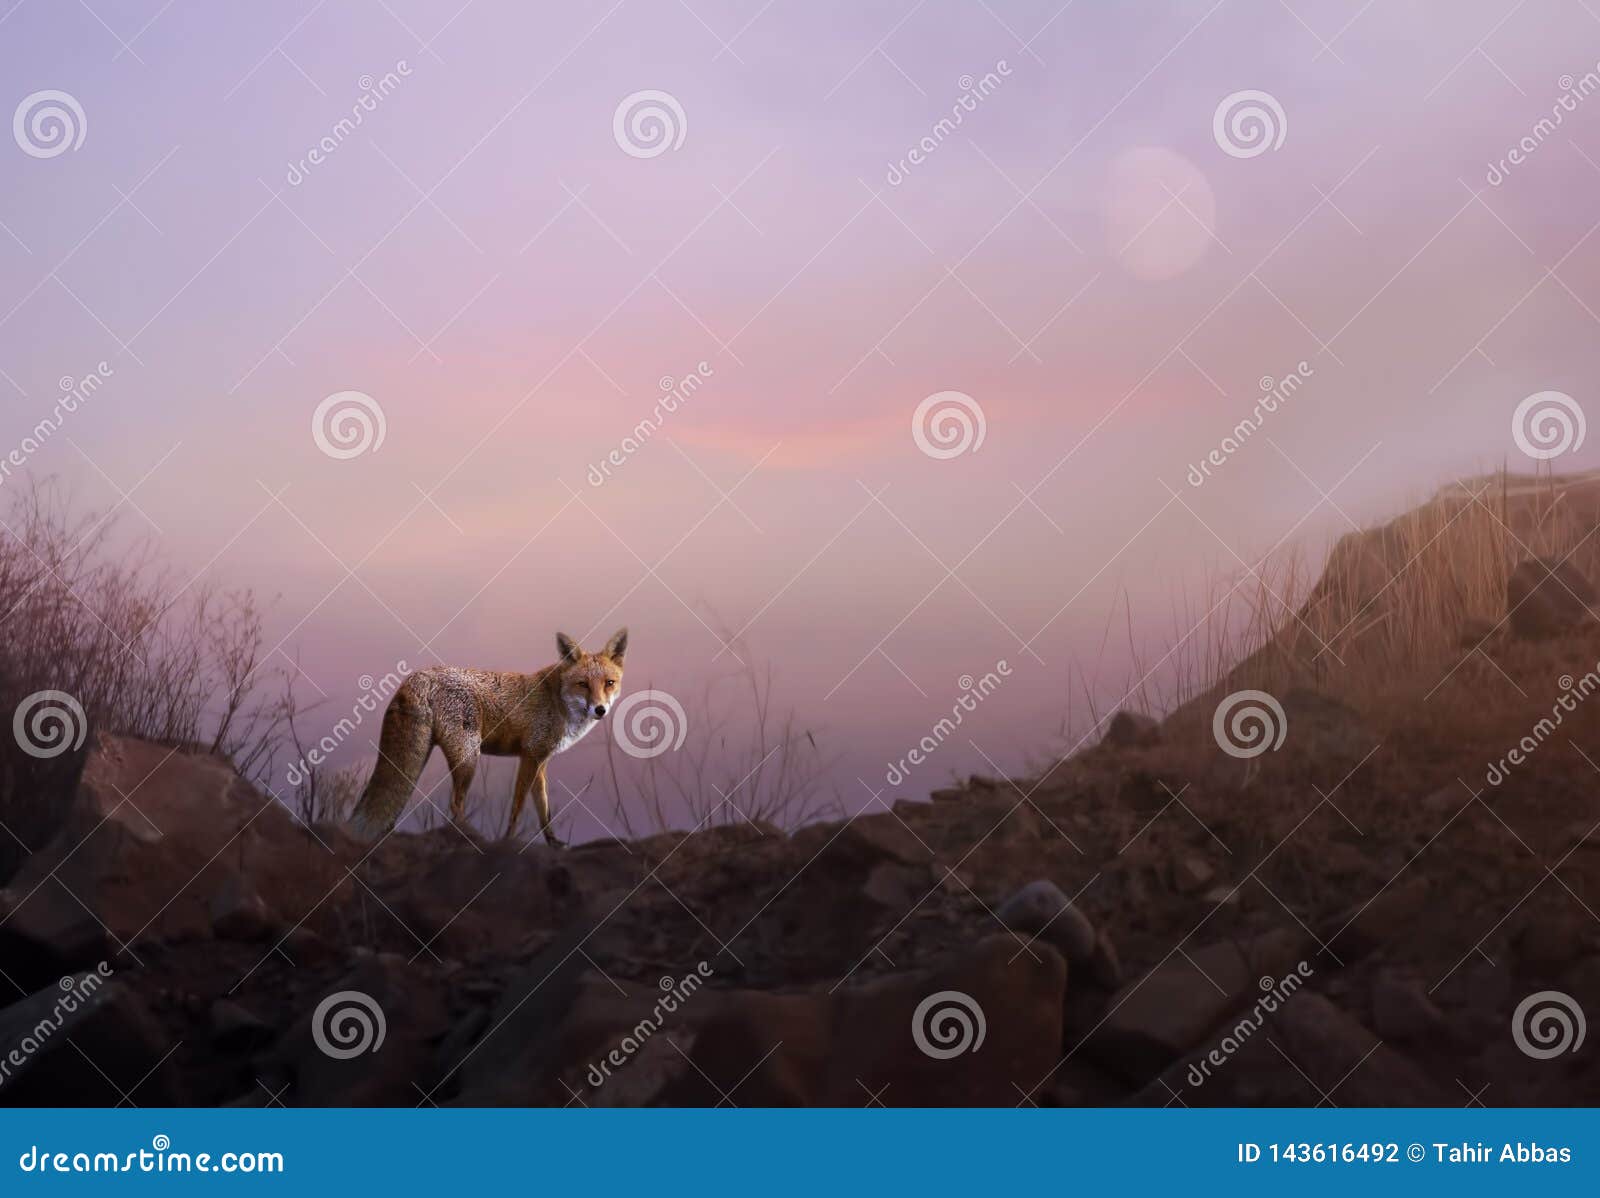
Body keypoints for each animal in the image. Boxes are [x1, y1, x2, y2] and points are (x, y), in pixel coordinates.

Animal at [347, 628, 627, 846]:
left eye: (609, 683)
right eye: (583, 684)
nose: (600, 710)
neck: (558, 701)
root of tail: (419, 676)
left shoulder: (541, 761)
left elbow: (543, 809)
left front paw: (553, 843)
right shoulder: (530, 756)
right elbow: (518, 806)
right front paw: (508, 841)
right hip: (469, 757)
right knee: (455, 804)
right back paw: (473, 839)